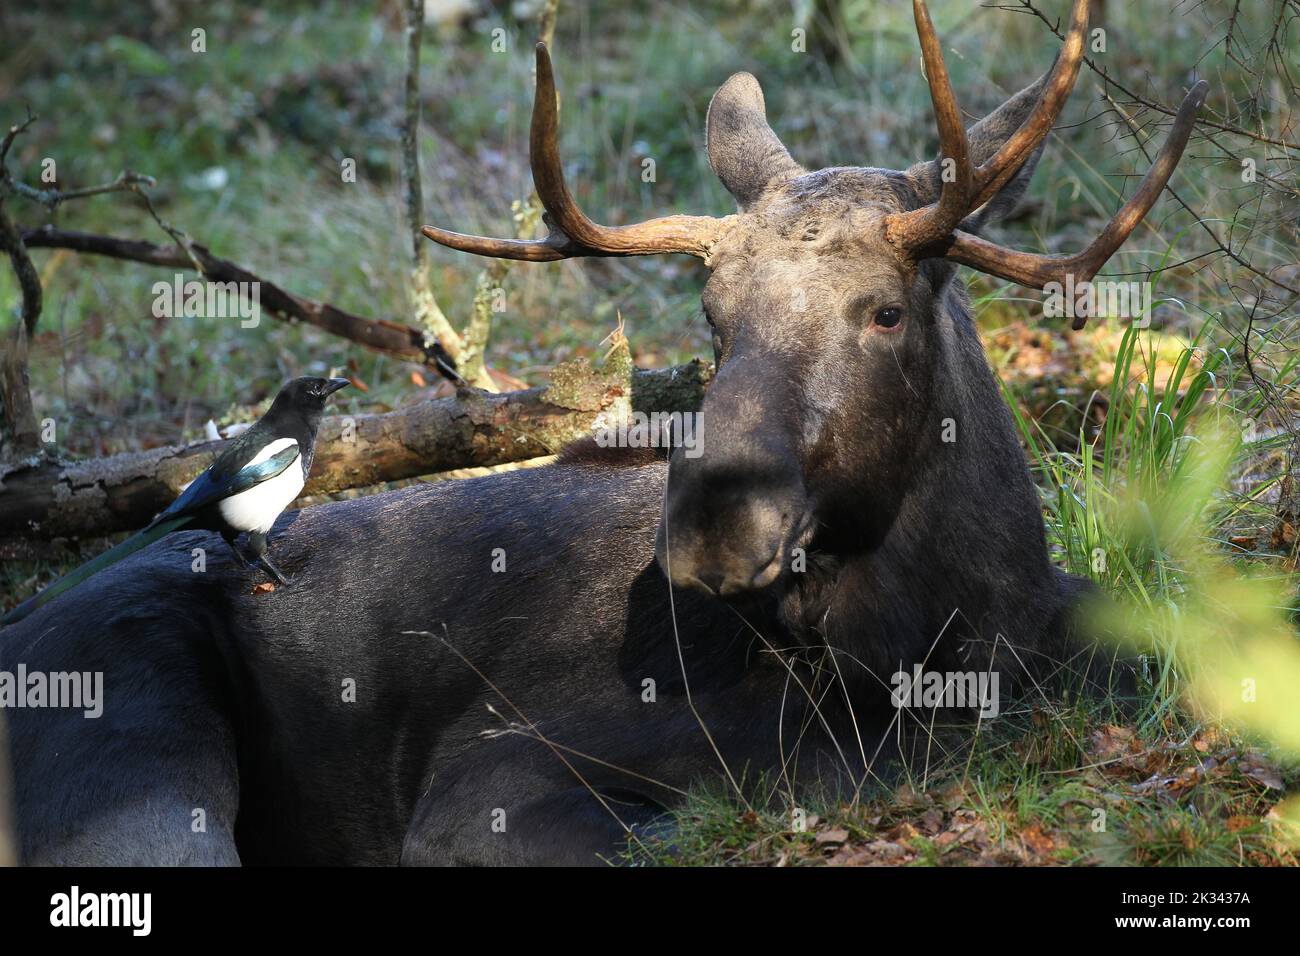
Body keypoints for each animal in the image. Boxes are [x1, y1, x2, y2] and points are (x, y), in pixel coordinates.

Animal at [1, 0, 1204, 865]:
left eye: (886, 310)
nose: (717, 523)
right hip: (142, 770)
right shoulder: (489, 788)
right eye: (713, 317)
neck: (957, 630)